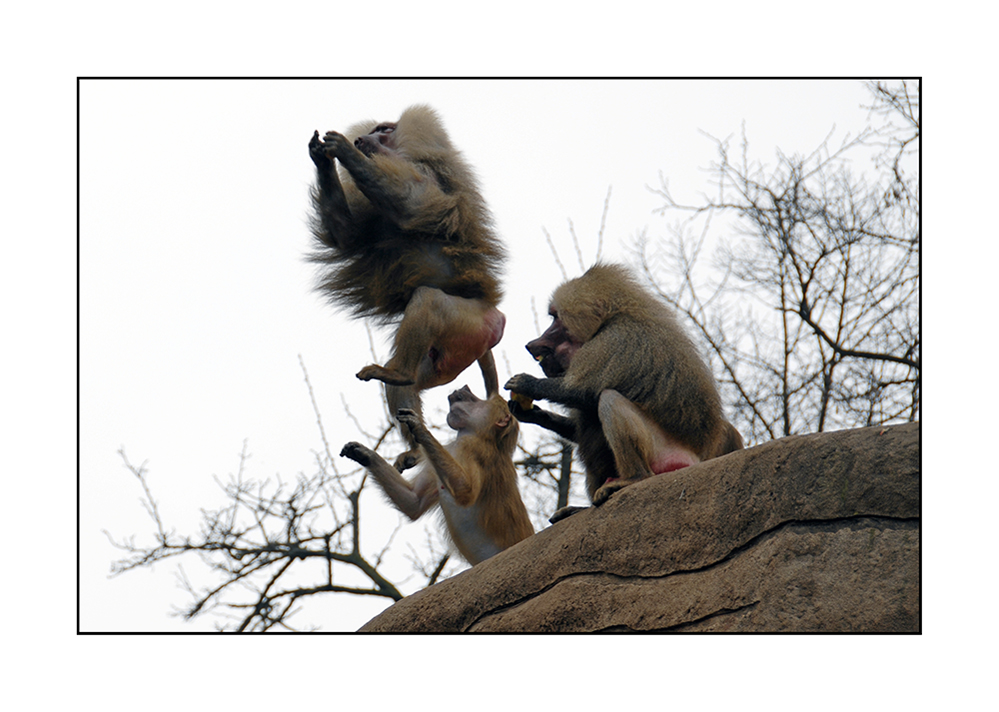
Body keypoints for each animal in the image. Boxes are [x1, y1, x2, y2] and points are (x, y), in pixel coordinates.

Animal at [309, 105, 506, 469]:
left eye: (384, 130)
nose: (361, 139)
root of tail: (493, 317)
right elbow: (347, 235)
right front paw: (321, 158)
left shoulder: (426, 171)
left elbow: (414, 203)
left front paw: (343, 152)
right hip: (445, 356)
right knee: (414, 381)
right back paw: (414, 444)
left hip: (468, 322)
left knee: (428, 300)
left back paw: (397, 373)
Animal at [340, 385, 533, 566]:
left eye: (479, 401)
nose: (463, 388)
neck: (484, 436)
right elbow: (413, 502)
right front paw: (363, 453)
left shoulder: (470, 447)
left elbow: (465, 491)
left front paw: (420, 429)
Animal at [505, 263, 743, 521]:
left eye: (555, 318)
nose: (531, 345)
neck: (613, 316)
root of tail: (700, 457)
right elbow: (578, 426)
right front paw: (532, 413)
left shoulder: (613, 341)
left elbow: (580, 392)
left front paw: (527, 383)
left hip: (668, 452)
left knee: (608, 400)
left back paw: (632, 479)